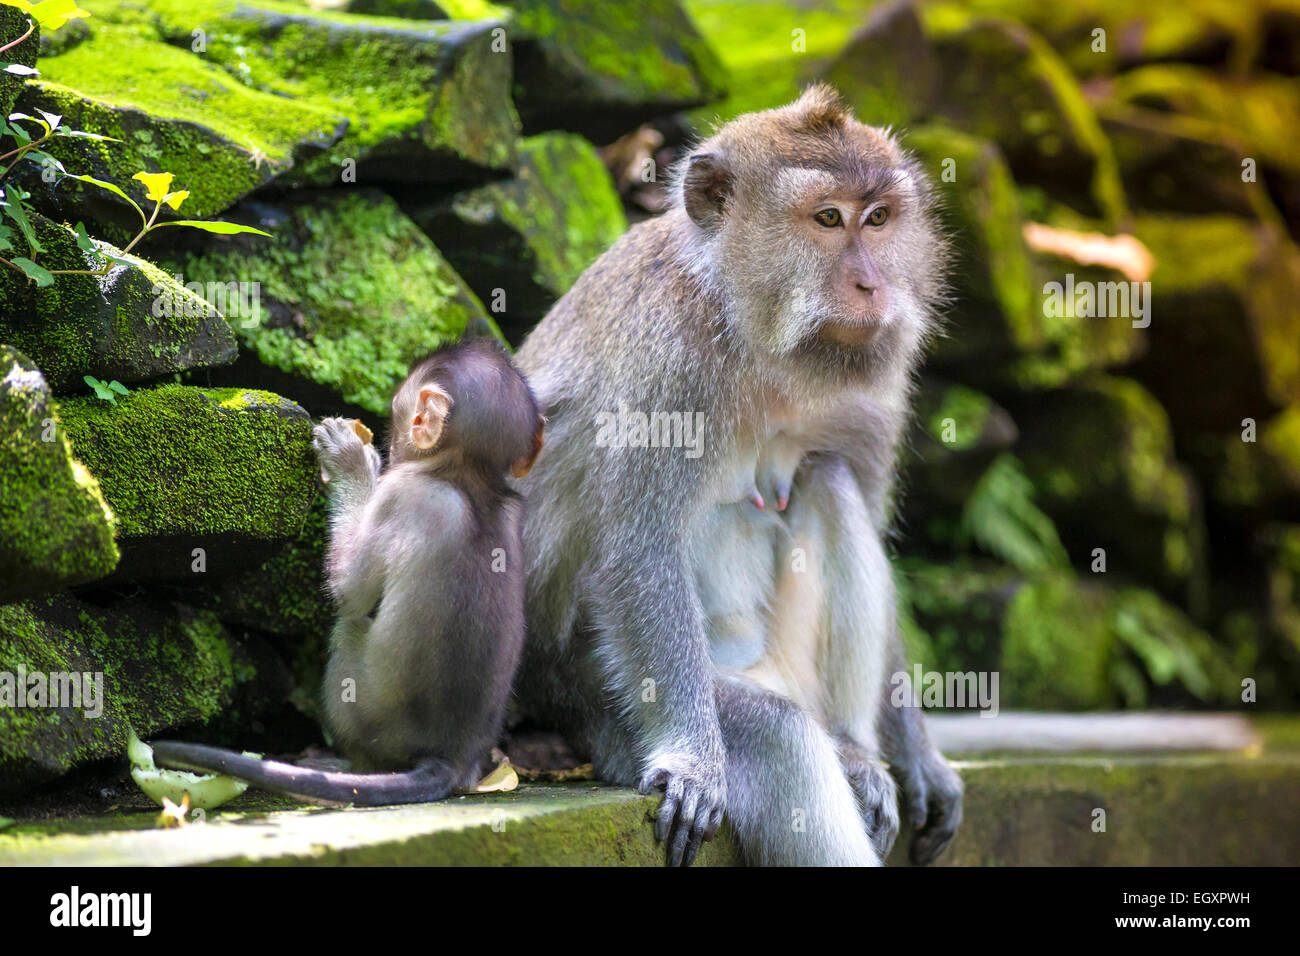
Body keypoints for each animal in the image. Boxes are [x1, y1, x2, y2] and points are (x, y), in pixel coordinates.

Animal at [151, 339, 545, 807]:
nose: (390, 445)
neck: (470, 479)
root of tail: (451, 756)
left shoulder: (400, 494)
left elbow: (348, 591)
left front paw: (352, 461)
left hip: (366, 712)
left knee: (350, 625)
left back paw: (346, 764)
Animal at [511, 84, 963, 866]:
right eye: (827, 218)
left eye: (878, 219)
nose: (872, 284)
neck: (757, 339)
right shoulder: (669, 360)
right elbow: (639, 547)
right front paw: (695, 761)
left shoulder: (875, 382)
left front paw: (918, 755)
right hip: (600, 700)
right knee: (779, 737)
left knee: (830, 480)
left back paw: (855, 751)